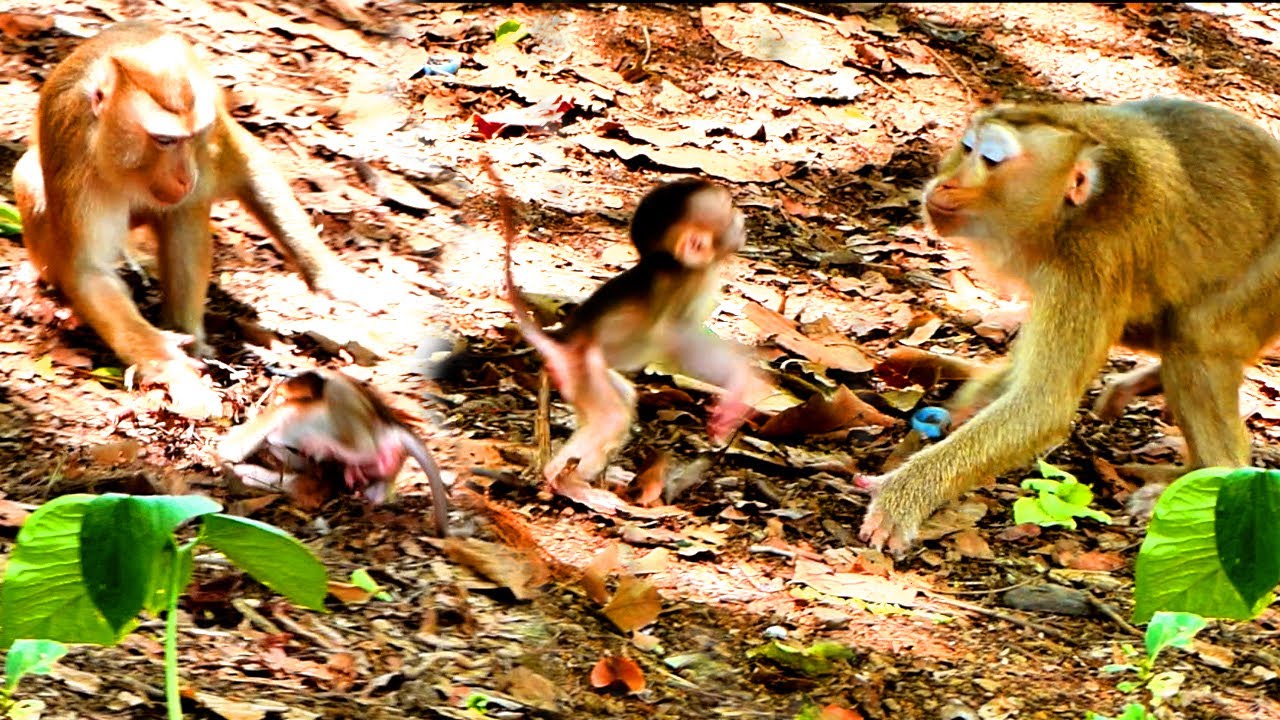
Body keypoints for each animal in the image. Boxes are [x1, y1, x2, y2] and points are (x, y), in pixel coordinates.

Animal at [11, 22, 373, 420]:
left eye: (193, 136)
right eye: (165, 140)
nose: (186, 177)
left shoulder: (210, 135)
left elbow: (251, 170)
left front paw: (332, 278)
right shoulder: (75, 155)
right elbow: (89, 271)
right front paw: (166, 362)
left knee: (184, 211)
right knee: (30, 179)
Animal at [482, 158, 769, 486]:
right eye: (730, 211)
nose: (742, 219)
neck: (673, 264)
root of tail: (562, 338)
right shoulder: (686, 283)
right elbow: (676, 337)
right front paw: (739, 387)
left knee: (620, 401)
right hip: (580, 365)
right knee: (611, 417)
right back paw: (561, 478)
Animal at [859, 97, 1280, 553]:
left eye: (990, 160)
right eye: (967, 149)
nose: (947, 184)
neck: (1068, 214)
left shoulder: (1089, 260)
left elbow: (1043, 405)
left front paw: (901, 497)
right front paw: (962, 409)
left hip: (1270, 274)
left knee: (1195, 332)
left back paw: (1213, 474)